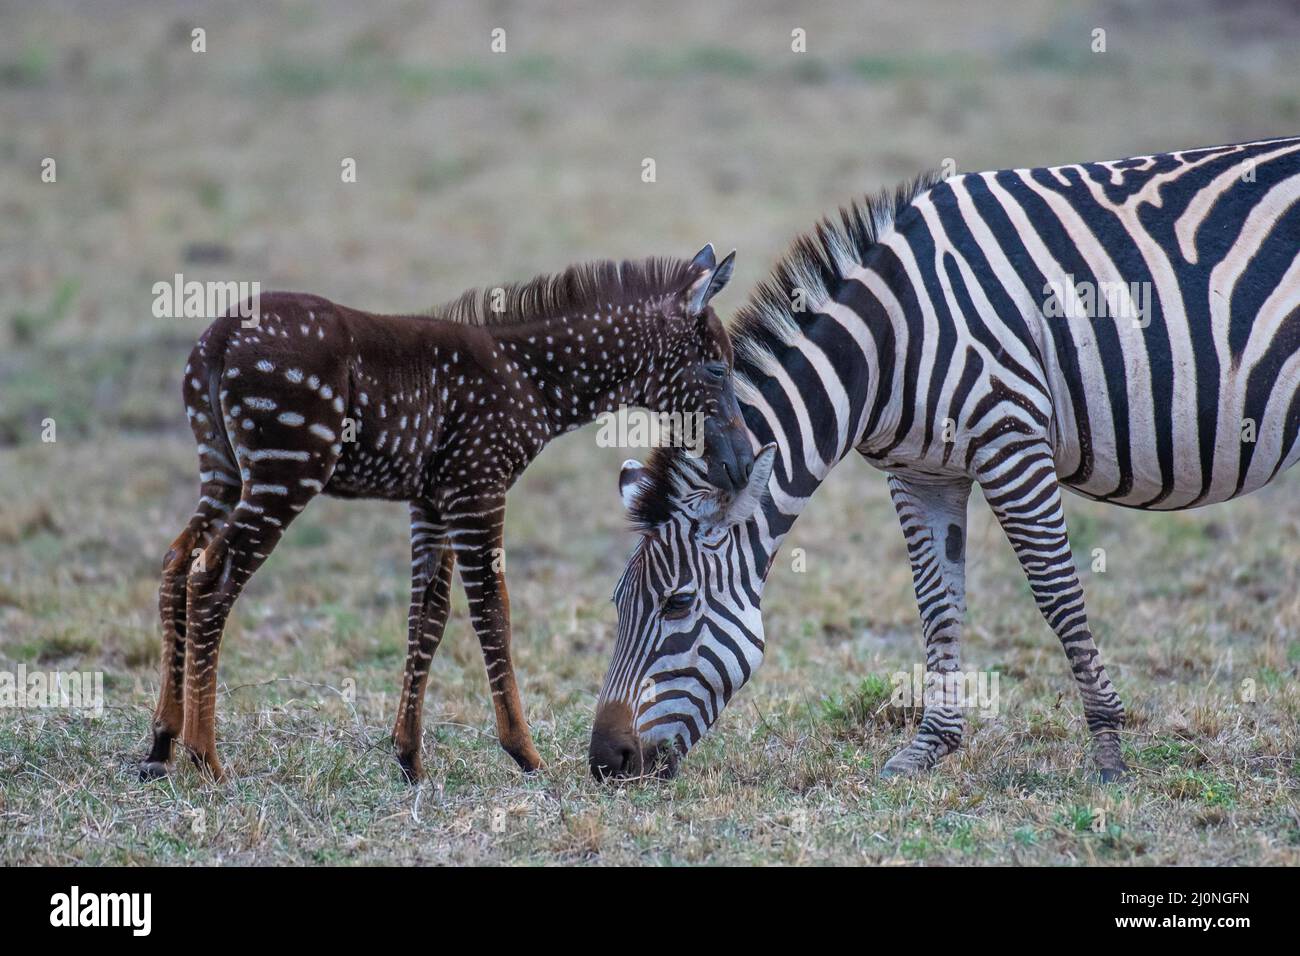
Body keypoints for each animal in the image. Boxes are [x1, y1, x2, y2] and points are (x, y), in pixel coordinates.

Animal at [590, 136, 1300, 783]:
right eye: (618, 604)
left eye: (678, 604)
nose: (605, 763)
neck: (886, 346)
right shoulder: (921, 473)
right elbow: (937, 601)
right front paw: (928, 747)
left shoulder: (1011, 441)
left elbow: (1057, 595)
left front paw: (1107, 753)